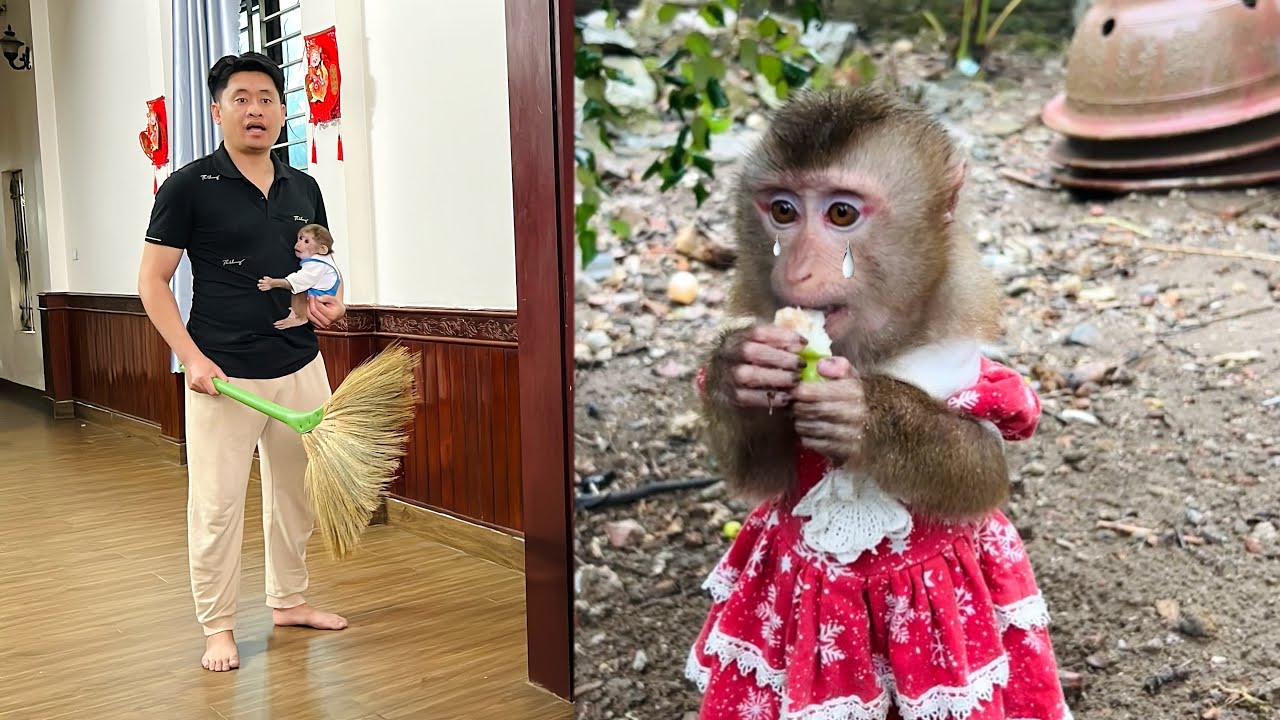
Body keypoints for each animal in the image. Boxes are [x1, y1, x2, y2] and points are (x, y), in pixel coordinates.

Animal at [683, 86, 1072, 720]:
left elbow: (983, 471)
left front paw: (870, 416)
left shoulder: (979, 377)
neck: (875, 350)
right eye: (783, 211)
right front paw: (737, 367)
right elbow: (763, 473)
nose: (796, 269)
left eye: (842, 214)